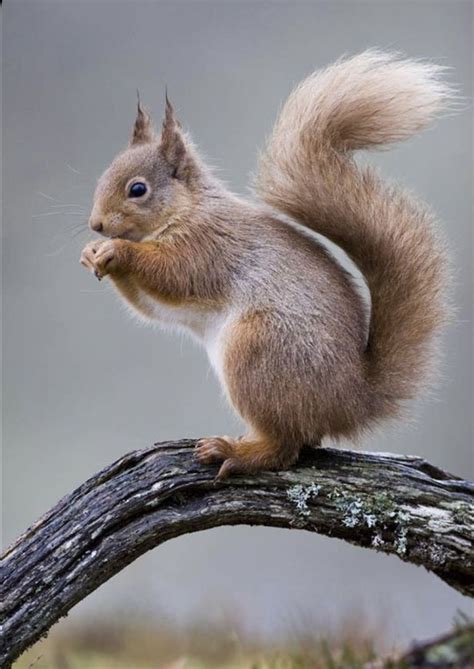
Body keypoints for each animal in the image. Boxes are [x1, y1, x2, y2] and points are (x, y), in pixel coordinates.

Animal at [81, 51, 452, 480]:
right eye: (102, 176)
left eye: (137, 189)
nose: (96, 224)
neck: (189, 210)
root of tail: (350, 400)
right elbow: (151, 305)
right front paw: (92, 252)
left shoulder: (207, 248)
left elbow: (172, 275)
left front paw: (117, 251)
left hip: (258, 349)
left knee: (286, 446)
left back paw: (237, 451)